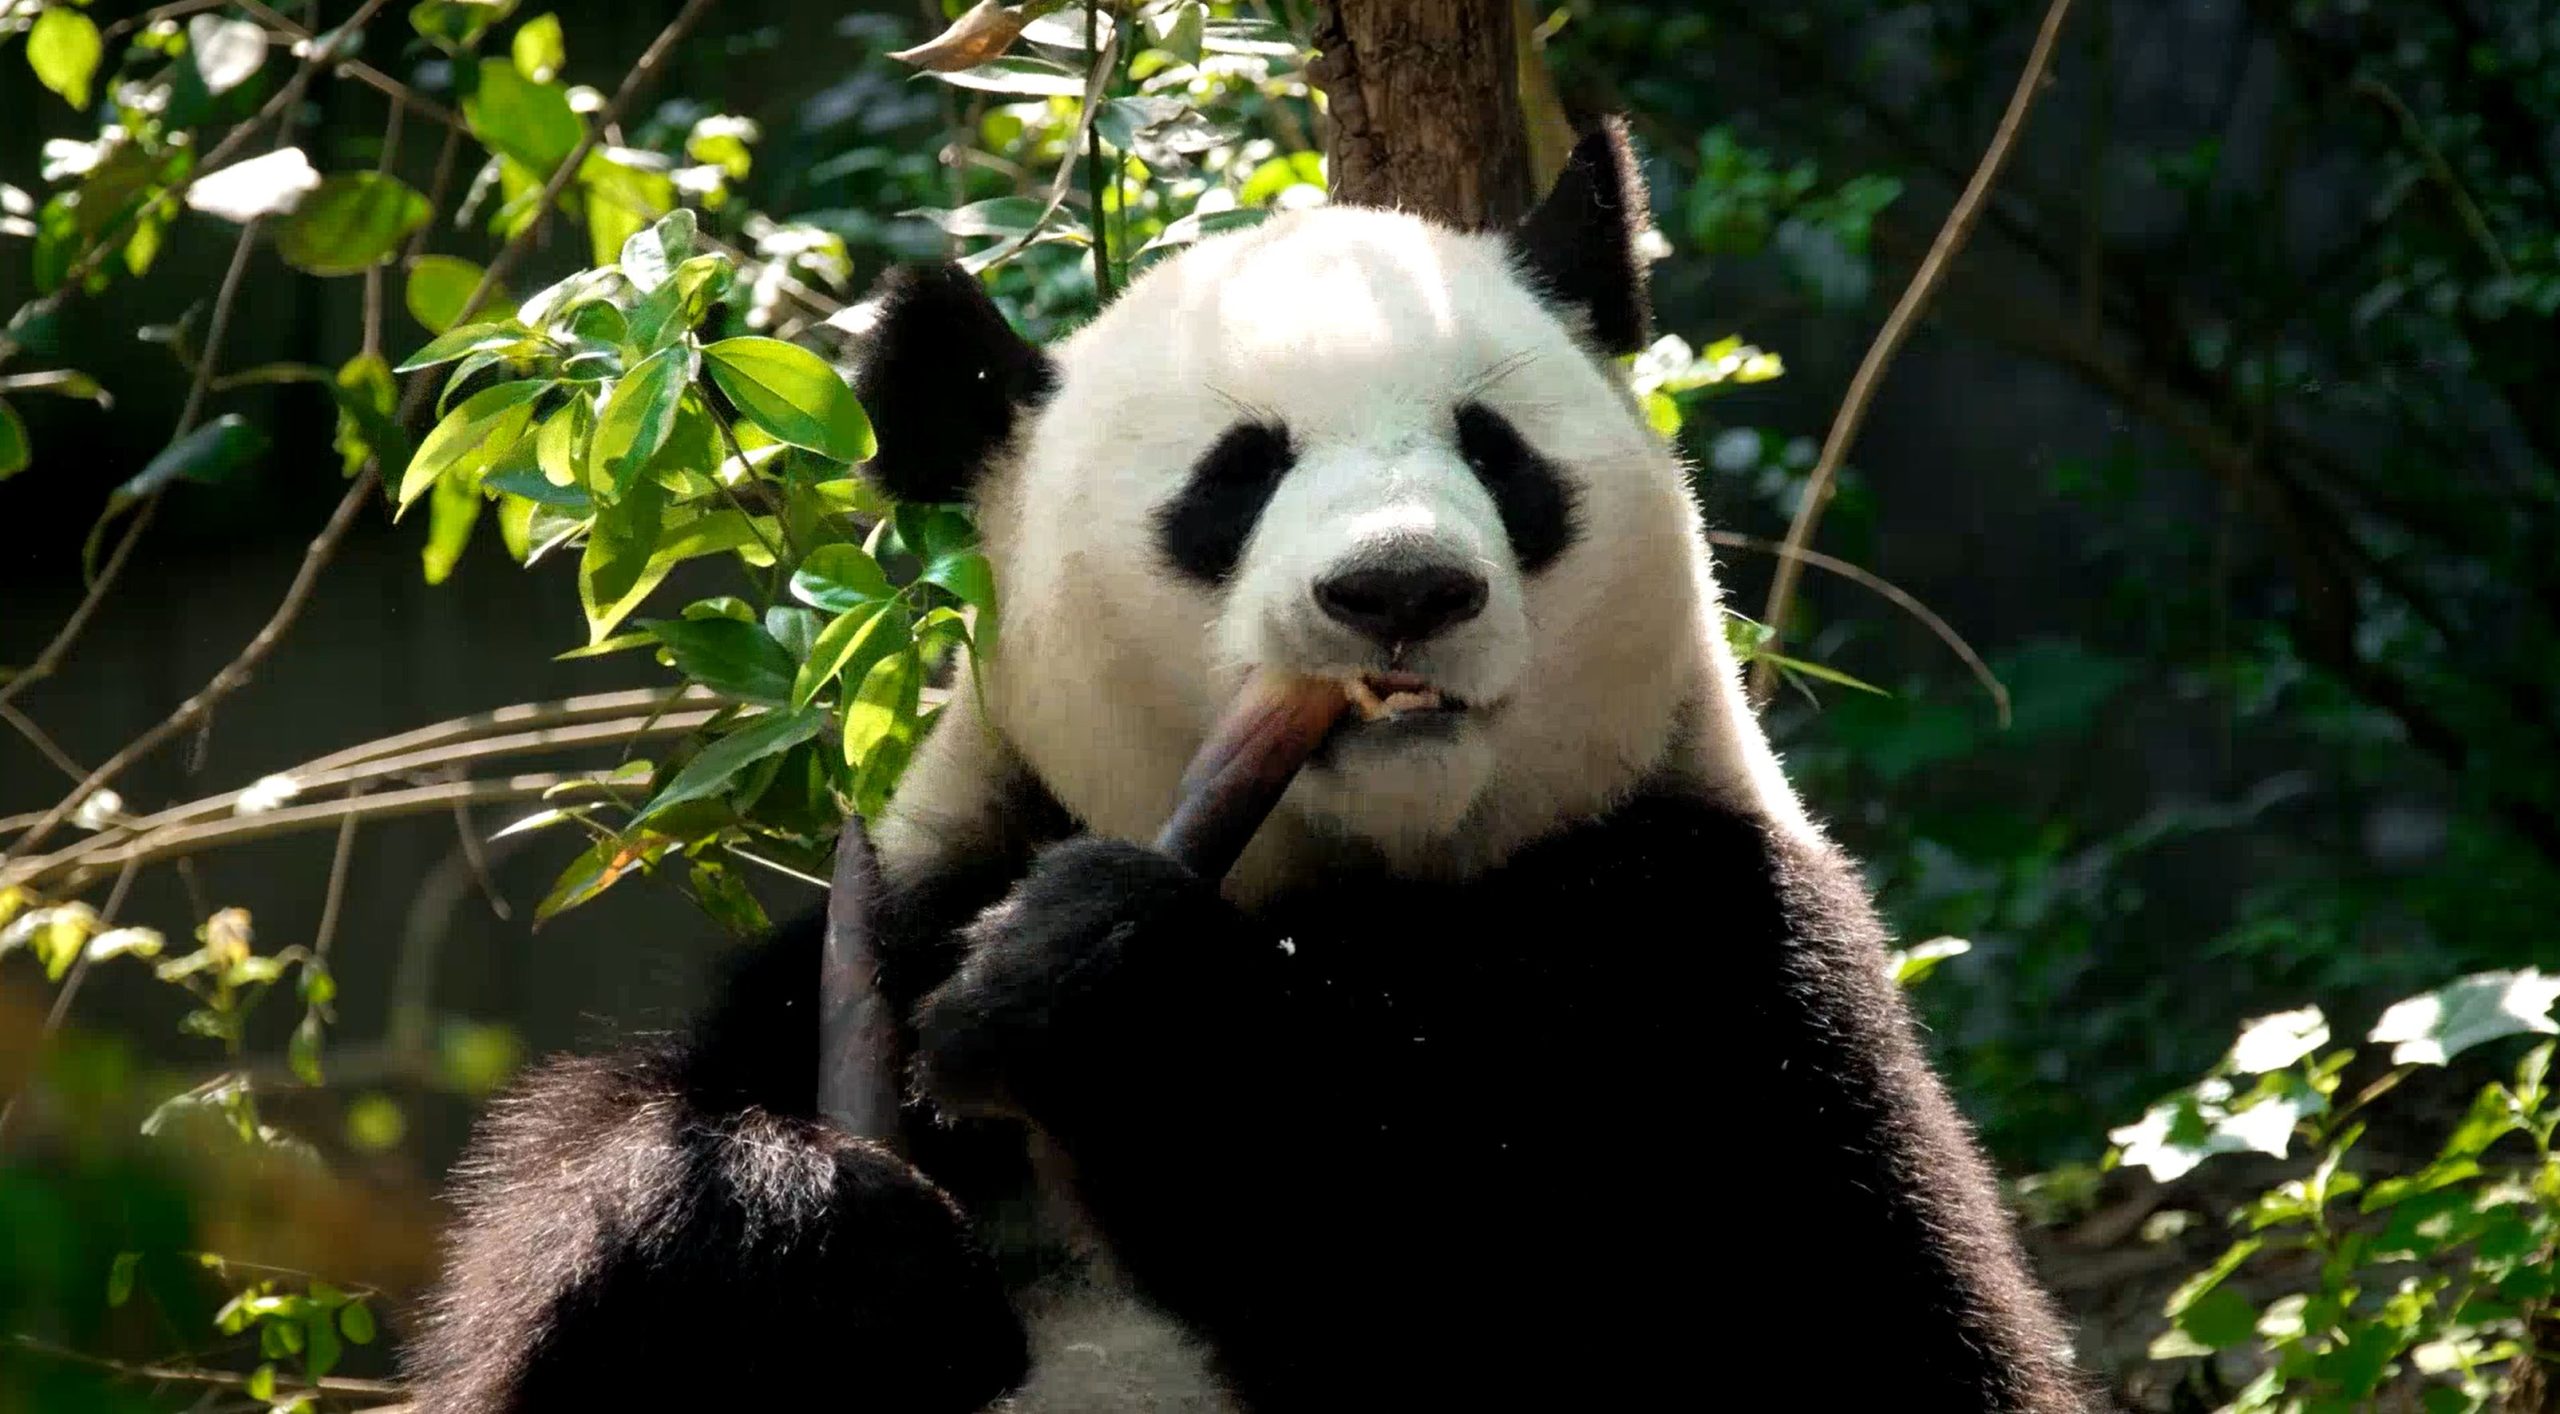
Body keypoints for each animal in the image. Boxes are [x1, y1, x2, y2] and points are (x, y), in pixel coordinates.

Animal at [401, 124, 2090, 1413]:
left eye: (1496, 453)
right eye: (1239, 473)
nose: (1402, 587)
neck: (1359, 896)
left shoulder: (1718, 954)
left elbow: (1775, 1328)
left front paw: (1117, 998)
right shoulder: (898, 911)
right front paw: (799, 1242)